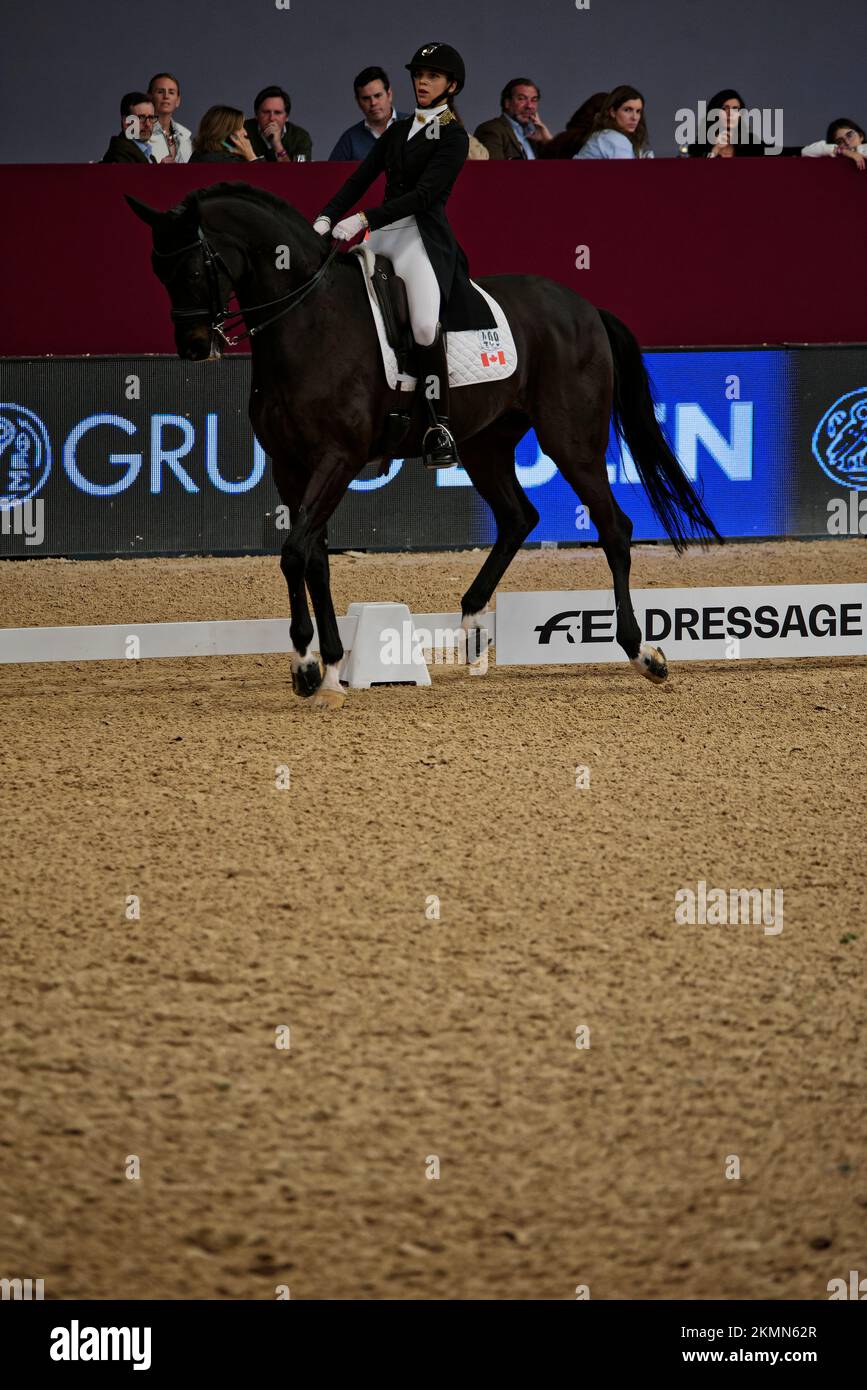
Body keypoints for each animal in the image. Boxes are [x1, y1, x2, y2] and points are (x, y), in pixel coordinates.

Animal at [126, 182, 720, 708]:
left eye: (192, 267)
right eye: (157, 270)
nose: (194, 347)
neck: (308, 323)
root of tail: (585, 307)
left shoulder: (337, 460)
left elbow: (295, 553)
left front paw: (308, 667)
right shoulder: (289, 466)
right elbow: (312, 557)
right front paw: (330, 667)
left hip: (570, 441)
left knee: (613, 527)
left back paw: (643, 653)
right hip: (484, 445)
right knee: (518, 517)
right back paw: (474, 627)